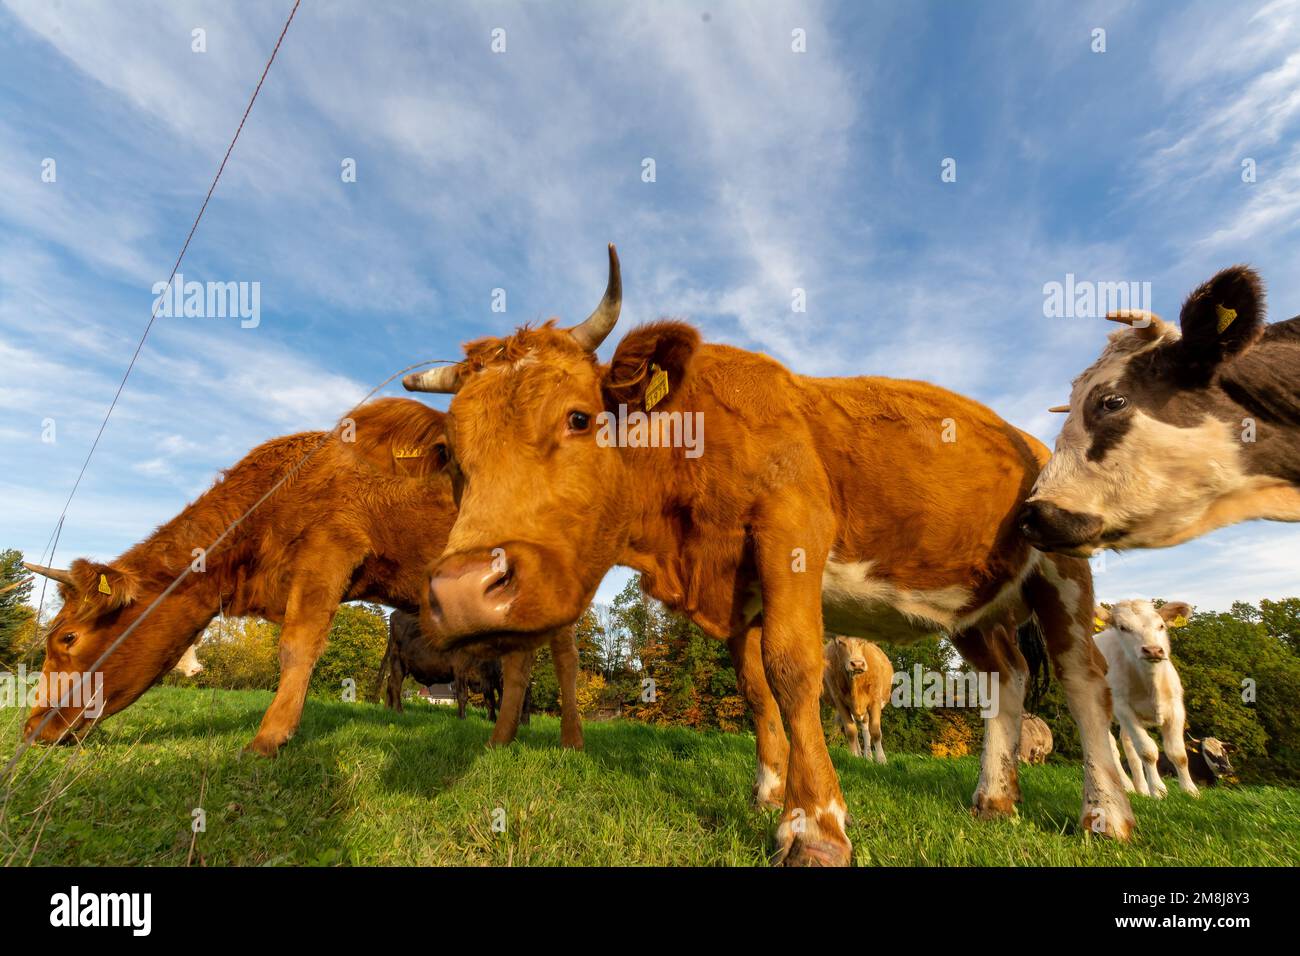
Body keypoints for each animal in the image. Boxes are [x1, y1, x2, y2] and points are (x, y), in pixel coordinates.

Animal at [23, 398, 582, 755]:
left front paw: (269, 737)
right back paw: (501, 739)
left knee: (564, 661)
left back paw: (570, 742)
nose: (30, 728)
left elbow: (297, 645)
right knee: (520, 665)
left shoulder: (329, 551)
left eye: (67, 637)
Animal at [402, 245, 1134, 865]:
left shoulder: (792, 530)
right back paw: (993, 799)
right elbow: (756, 690)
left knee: (1083, 678)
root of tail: (1026, 439)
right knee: (1005, 677)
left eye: (578, 417)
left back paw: (1105, 815)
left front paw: (814, 826)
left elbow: (791, 667)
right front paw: (769, 793)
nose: (463, 590)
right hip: (970, 606)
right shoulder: (736, 592)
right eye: (452, 454)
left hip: (1062, 571)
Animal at [1093, 600, 1198, 797]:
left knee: (1128, 745)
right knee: (1112, 746)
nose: (1153, 650)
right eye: (1123, 628)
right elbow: (1147, 751)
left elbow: (1178, 753)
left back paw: (1141, 789)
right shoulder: (1123, 708)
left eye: (1161, 625)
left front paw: (1190, 790)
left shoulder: (1176, 707)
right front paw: (1158, 790)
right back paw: (1127, 786)